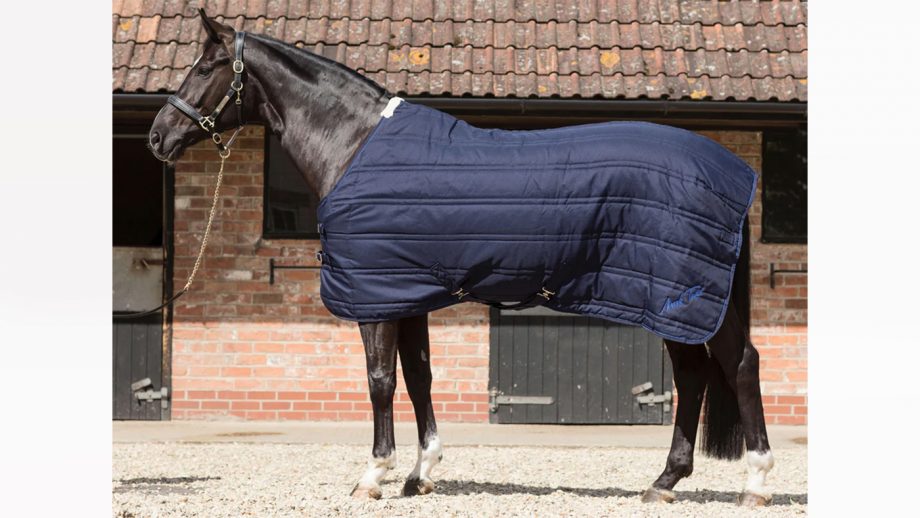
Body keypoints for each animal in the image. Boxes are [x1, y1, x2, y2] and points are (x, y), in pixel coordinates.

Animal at [147, 11, 774, 507]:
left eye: (202, 68)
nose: (157, 137)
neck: (354, 145)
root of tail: (729, 172)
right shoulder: (407, 293)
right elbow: (419, 376)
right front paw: (421, 473)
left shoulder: (376, 296)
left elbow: (379, 380)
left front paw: (373, 475)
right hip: (666, 299)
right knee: (692, 376)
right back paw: (663, 482)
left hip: (684, 295)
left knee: (739, 364)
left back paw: (757, 483)